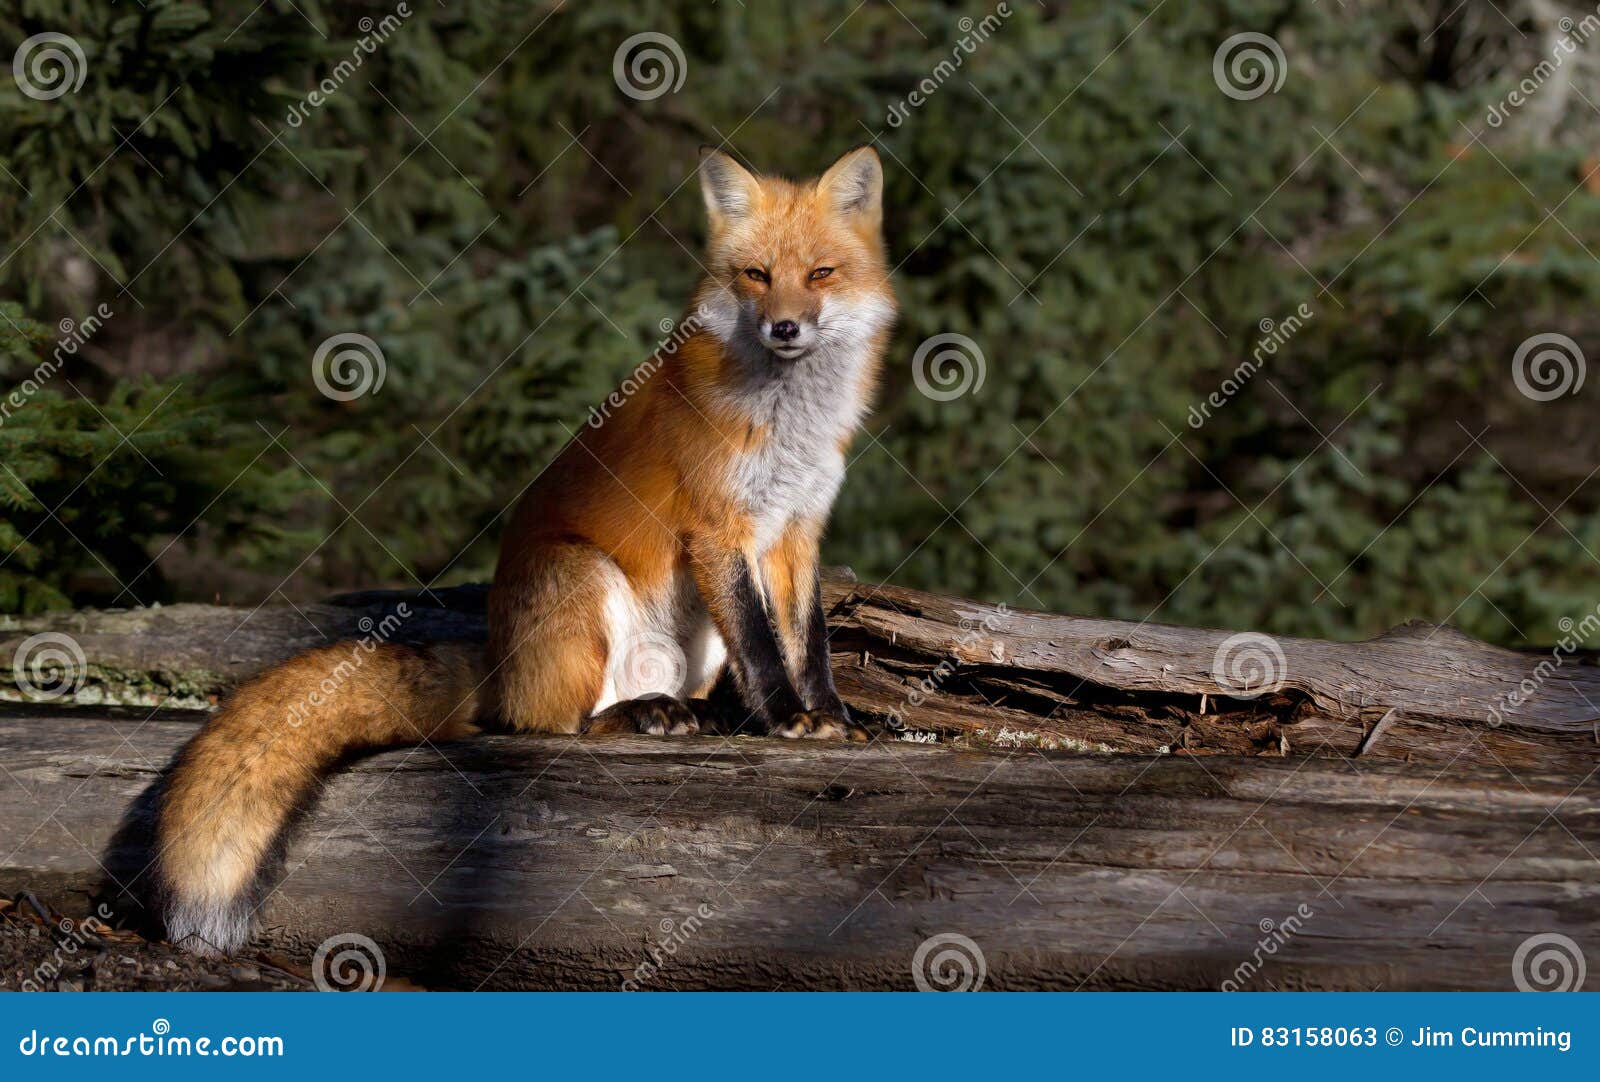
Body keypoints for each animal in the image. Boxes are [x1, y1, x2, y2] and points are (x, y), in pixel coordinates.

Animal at [154, 146, 898, 956]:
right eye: (757, 276)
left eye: (820, 274)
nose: (785, 328)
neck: (789, 424)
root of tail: (497, 661)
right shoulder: (719, 529)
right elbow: (765, 645)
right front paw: (789, 718)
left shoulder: (797, 532)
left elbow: (808, 640)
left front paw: (830, 716)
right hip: (582, 576)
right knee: (547, 724)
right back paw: (637, 717)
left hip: (693, 642)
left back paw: (687, 713)